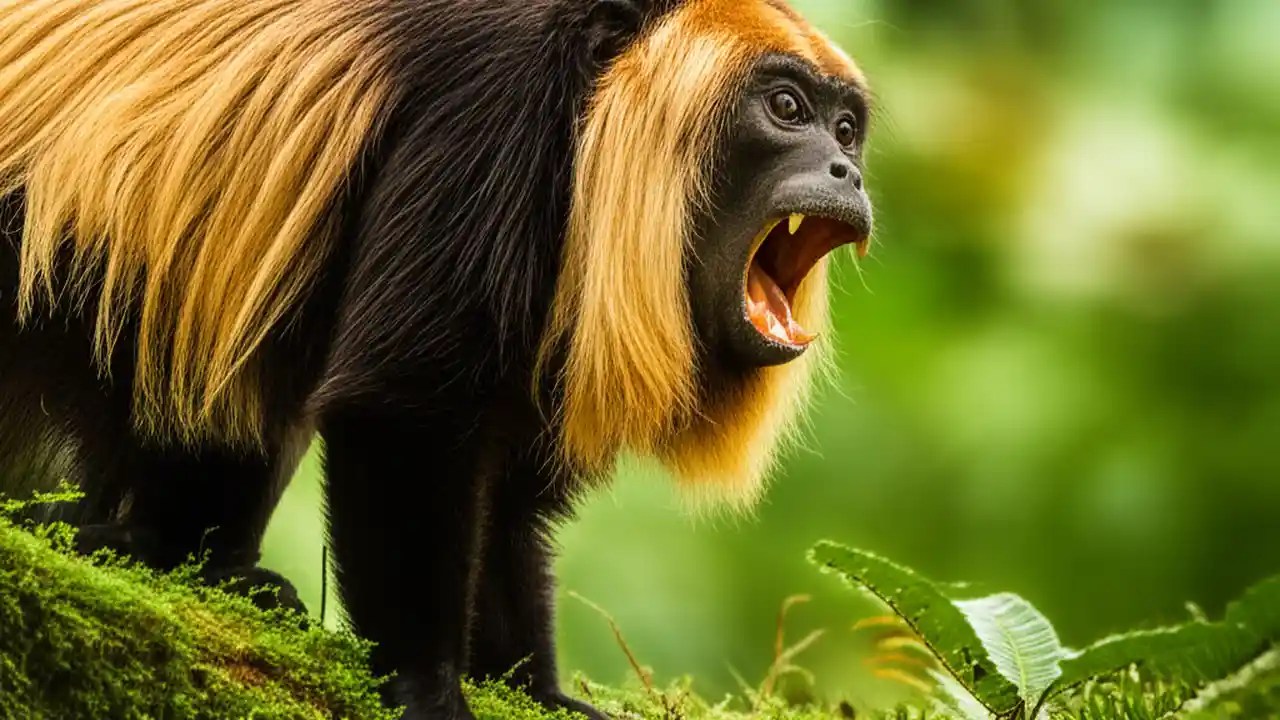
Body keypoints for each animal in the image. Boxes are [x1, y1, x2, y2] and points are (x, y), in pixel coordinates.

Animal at [0, 0, 874, 718]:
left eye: (846, 130)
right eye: (787, 108)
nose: (851, 173)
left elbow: (508, 493)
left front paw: (534, 688)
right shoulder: (494, 116)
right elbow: (402, 412)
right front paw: (426, 687)